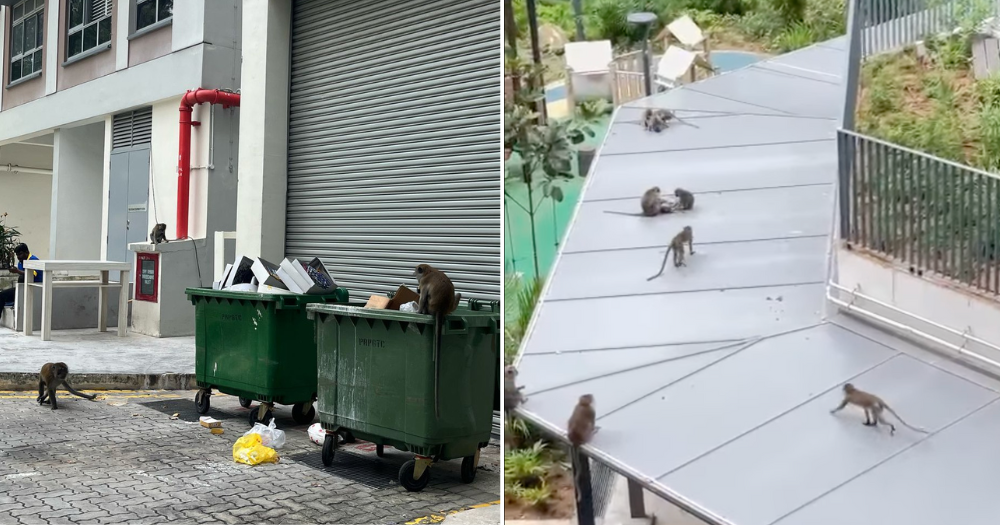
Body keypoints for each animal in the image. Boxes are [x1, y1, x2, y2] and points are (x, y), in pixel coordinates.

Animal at [413, 263, 456, 419]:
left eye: (416, 272)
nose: (413, 273)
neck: (429, 270)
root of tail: (441, 309)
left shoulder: (423, 282)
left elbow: (423, 296)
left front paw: (418, 310)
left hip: (430, 308)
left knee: (425, 299)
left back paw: (419, 310)